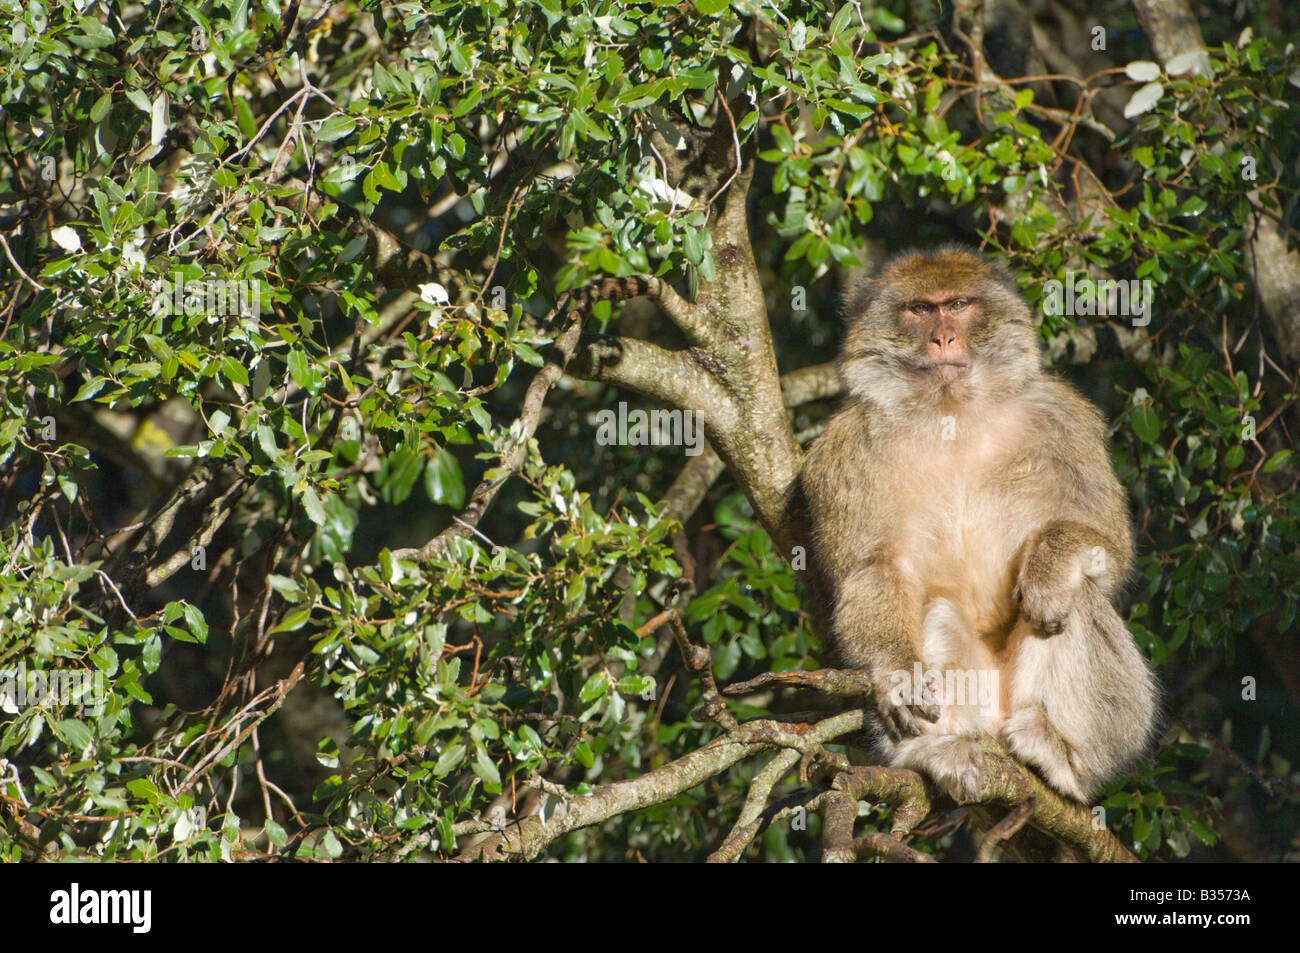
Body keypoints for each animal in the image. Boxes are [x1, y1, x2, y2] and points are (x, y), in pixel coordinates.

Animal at [798, 245, 1157, 804]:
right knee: (938, 612)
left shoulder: (1062, 419)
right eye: (920, 309)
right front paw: (899, 674)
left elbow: (1109, 548)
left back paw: (1064, 756)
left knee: (1077, 599)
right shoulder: (848, 449)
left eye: (959, 304)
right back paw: (939, 748)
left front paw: (1050, 566)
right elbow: (874, 570)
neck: (951, 415)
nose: (943, 336)